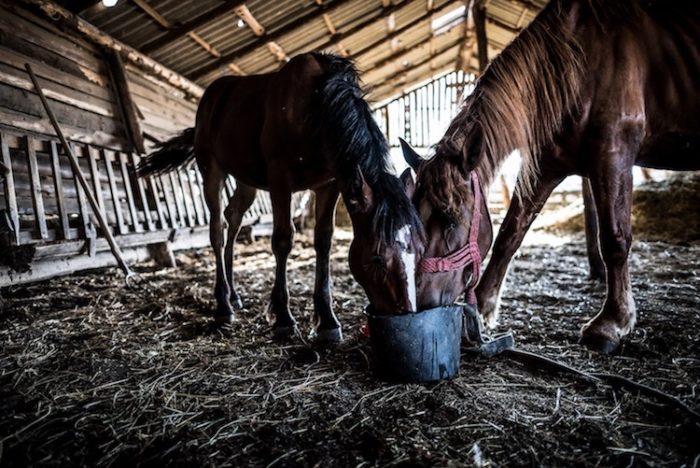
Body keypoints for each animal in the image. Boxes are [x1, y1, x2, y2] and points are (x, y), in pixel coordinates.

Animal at [137, 52, 423, 342]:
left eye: (421, 249)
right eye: (377, 258)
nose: (405, 312)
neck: (317, 105)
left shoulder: (329, 185)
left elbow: (324, 242)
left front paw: (327, 321)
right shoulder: (279, 179)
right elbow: (283, 240)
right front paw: (283, 317)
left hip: (246, 181)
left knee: (233, 218)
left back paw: (234, 295)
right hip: (212, 171)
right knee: (217, 228)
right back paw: (223, 306)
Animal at [401, 0, 700, 353]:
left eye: (449, 220)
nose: (419, 301)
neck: (580, 60)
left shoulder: (614, 154)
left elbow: (614, 238)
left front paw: (611, 323)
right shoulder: (547, 166)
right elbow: (510, 234)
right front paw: (485, 307)